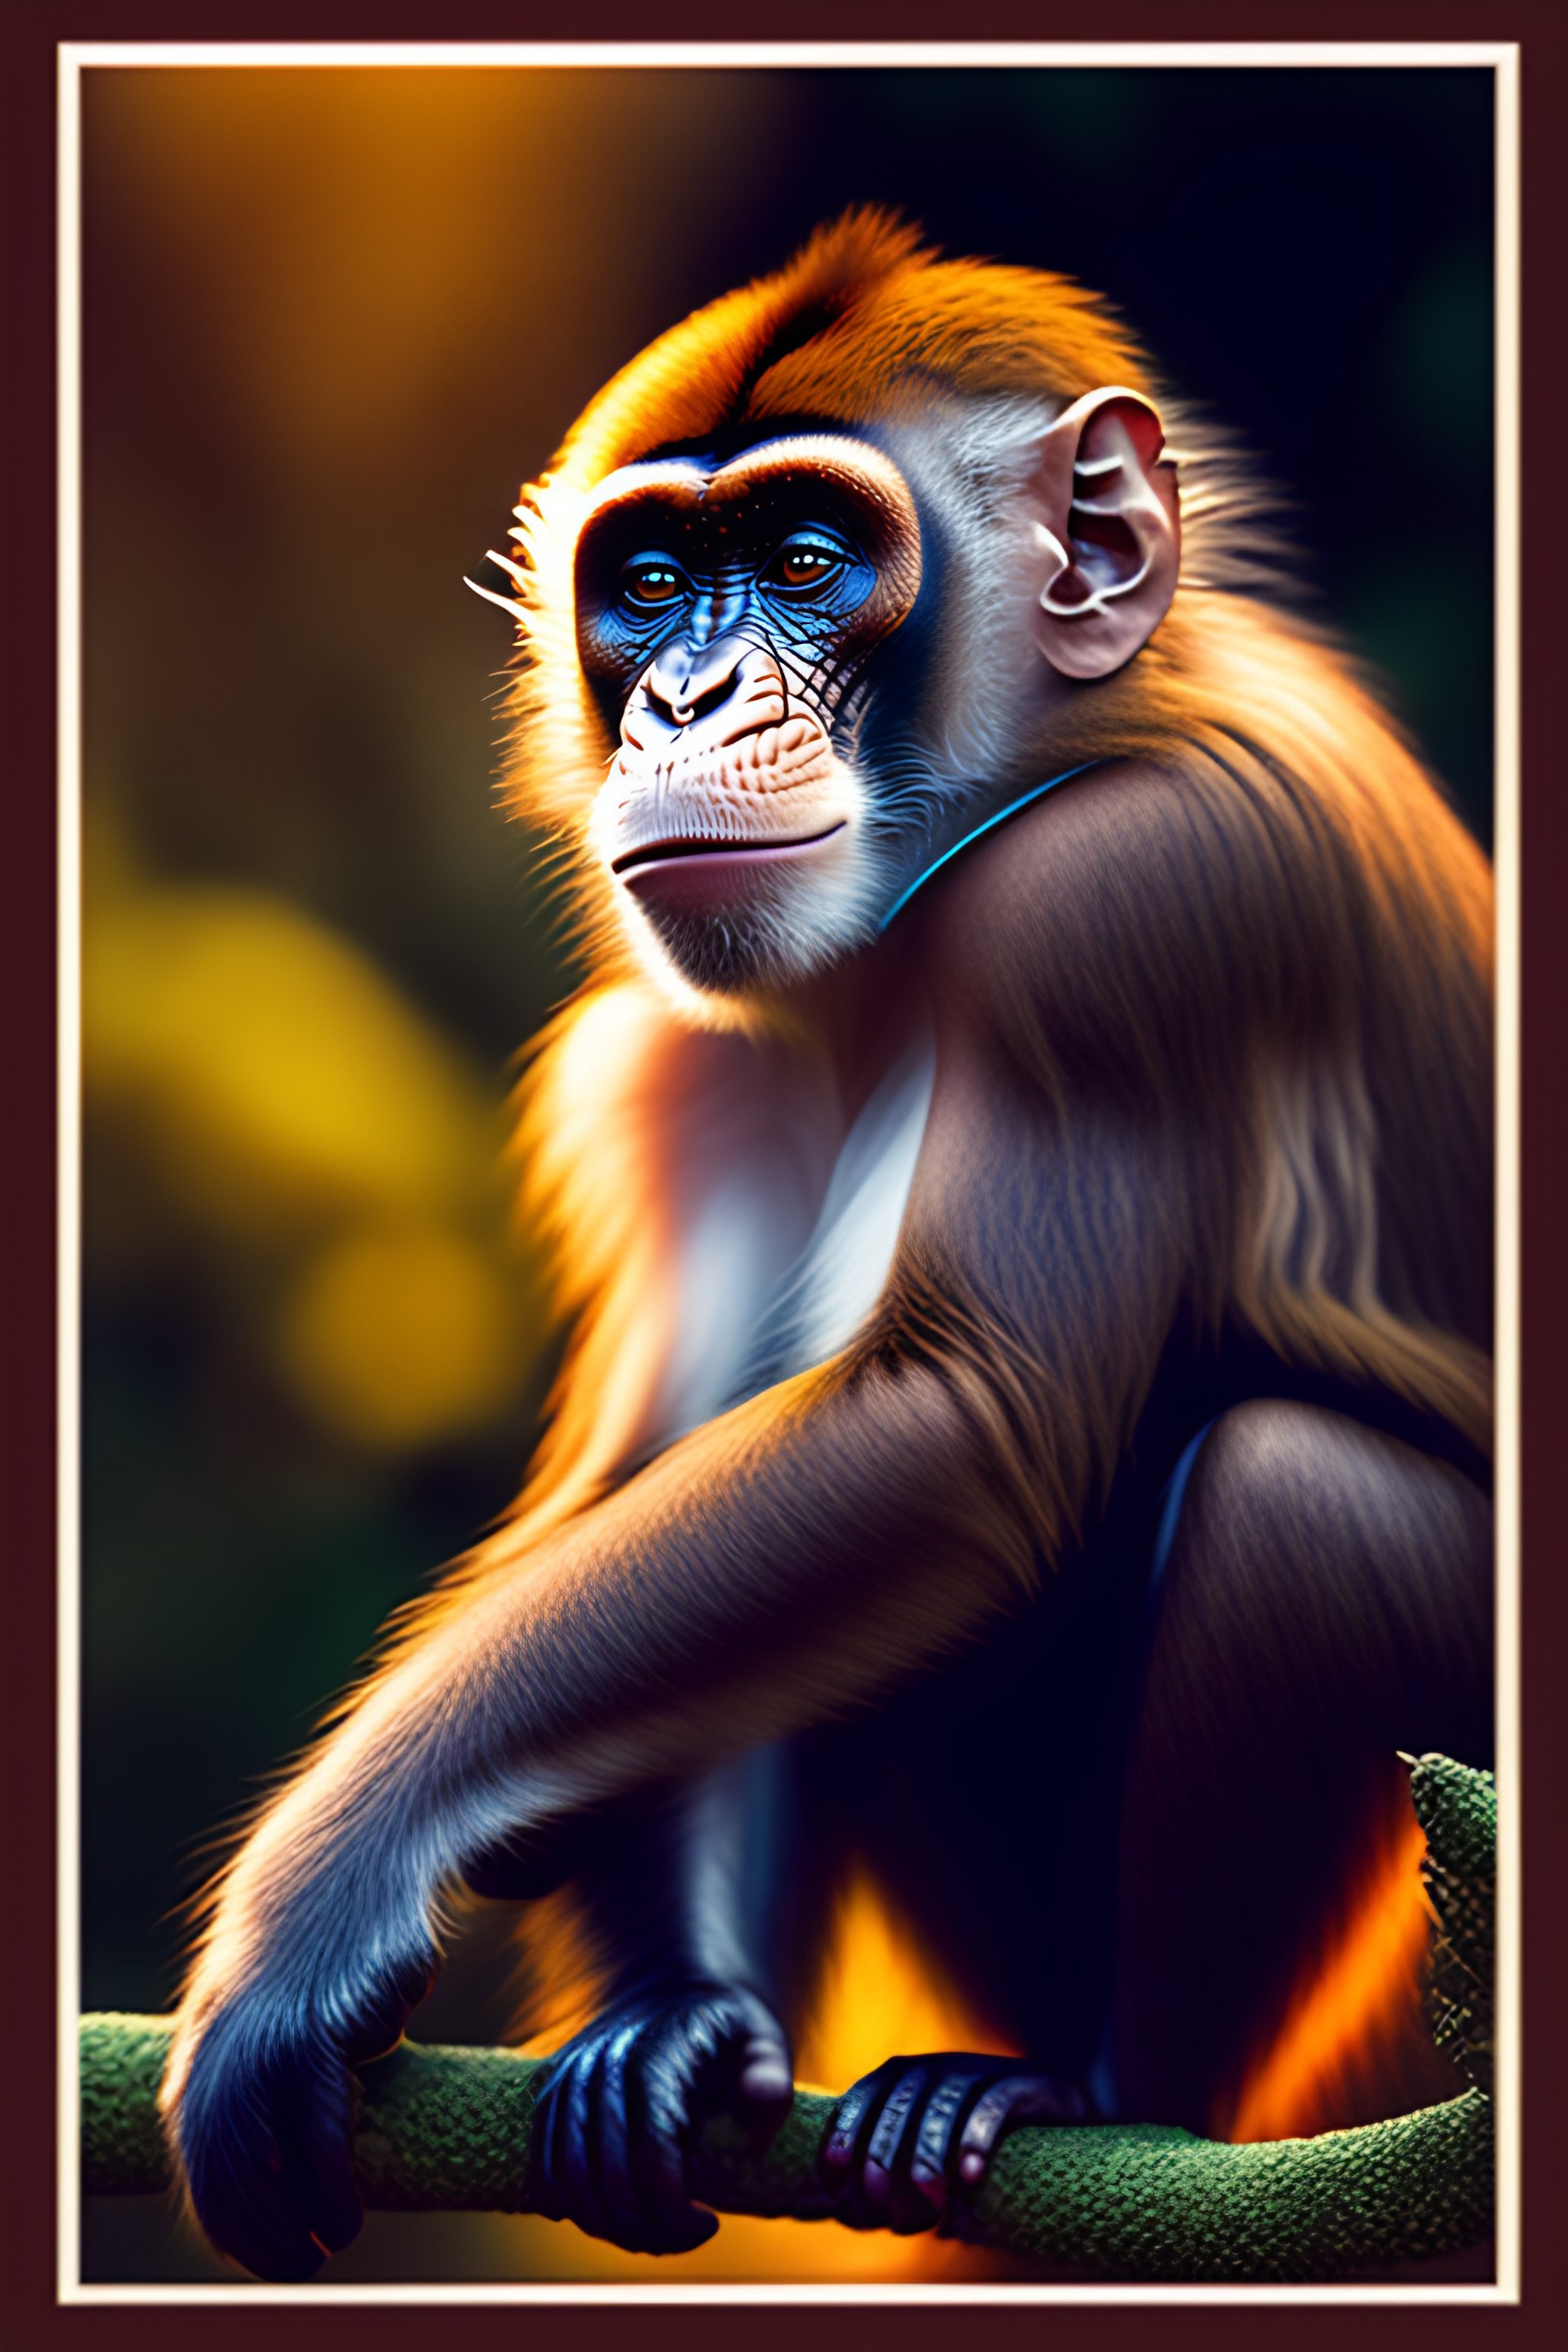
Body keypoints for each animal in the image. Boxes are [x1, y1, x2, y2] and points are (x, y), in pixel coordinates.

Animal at [160, 211, 1494, 2280]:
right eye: (646, 585)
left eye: (804, 563)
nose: (690, 699)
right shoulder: (666, 1073)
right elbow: (692, 1466)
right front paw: (678, 2013)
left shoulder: (1126, 908)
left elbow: (959, 1426)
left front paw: (327, 1893)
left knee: (1293, 1490)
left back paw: (1113, 2095)